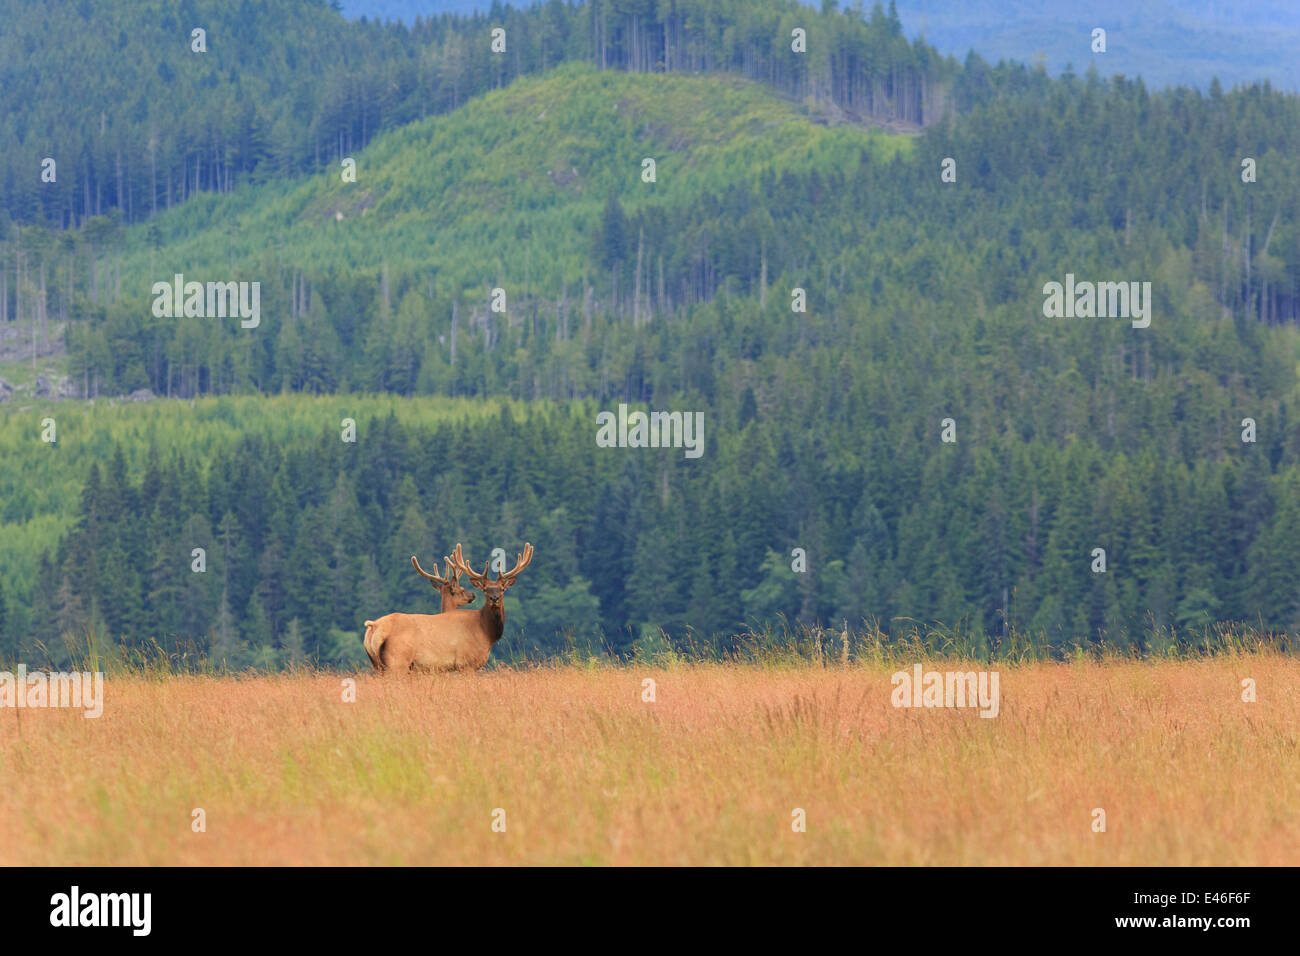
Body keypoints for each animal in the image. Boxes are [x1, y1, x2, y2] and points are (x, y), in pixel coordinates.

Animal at [361, 546, 533, 671]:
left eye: (502, 589)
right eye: (485, 589)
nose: (495, 598)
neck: (486, 633)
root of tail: (374, 626)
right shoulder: (465, 662)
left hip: (377, 664)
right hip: (397, 660)